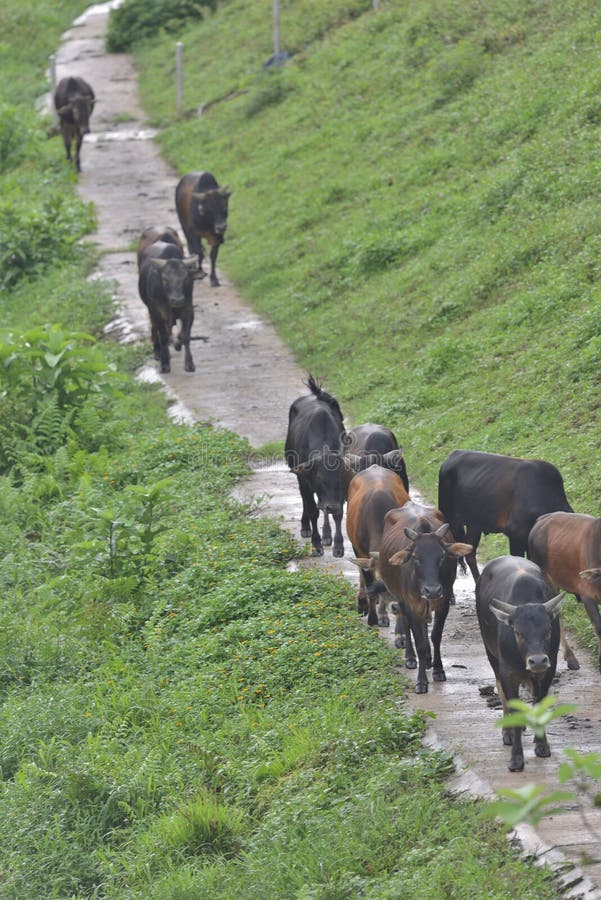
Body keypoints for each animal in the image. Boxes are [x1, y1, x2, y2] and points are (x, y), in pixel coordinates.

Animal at [137, 240, 198, 373]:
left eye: (185, 277)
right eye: (165, 279)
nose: (177, 300)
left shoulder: (188, 310)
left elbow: (185, 336)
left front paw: (189, 364)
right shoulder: (157, 312)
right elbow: (163, 336)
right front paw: (165, 364)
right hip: (151, 311)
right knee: (155, 329)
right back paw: (158, 352)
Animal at [285, 376, 346, 558]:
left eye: (340, 478)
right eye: (319, 479)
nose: (332, 505)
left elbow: (338, 513)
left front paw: (338, 545)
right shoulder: (305, 480)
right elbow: (313, 510)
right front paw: (316, 543)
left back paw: (327, 535)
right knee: (308, 503)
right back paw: (306, 527)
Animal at [346, 465, 410, 626]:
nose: (397, 605)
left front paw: (382, 616)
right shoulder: (361, 550)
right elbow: (369, 581)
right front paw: (373, 618)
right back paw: (362, 603)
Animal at [357, 501, 472, 693]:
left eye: (442, 556)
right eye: (416, 557)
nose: (432, 590)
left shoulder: (443, 602)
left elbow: (435, 636)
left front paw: (438, 669)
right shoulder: (411, 603)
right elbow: (420, 642)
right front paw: (421, 681)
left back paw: (427, 660)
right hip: (402, 600)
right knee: (406, 624)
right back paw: (410, 658)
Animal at [476, 556, 564, 771]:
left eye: (548, 629)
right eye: (518, 632)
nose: (538, 660)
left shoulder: (548, 671)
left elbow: (539, 703)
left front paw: (542, 745)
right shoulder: (508, 673)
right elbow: (512, 703)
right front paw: (516, 757)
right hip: (491, 655)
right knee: (500, 690)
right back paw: (507, 731)